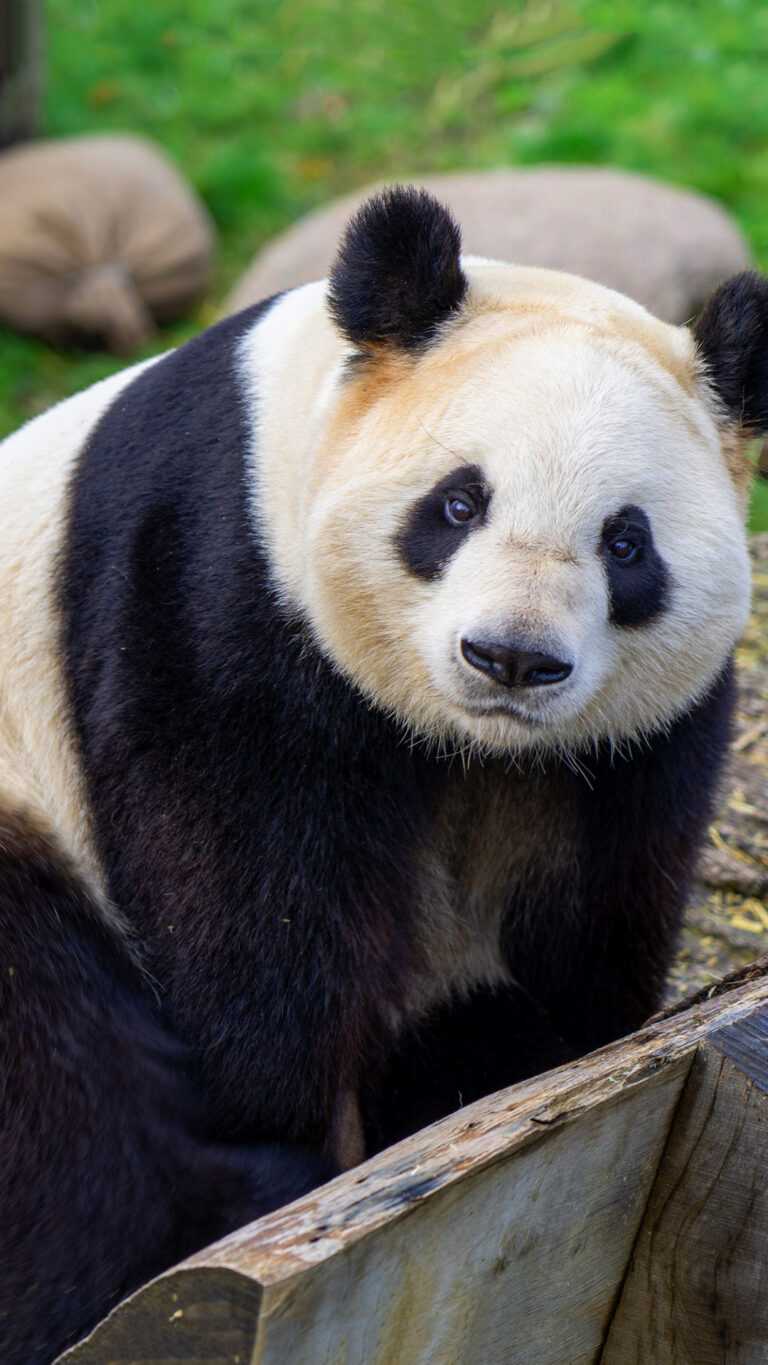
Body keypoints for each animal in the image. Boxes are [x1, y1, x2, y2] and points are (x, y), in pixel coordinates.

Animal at [0, 185, 763, 1362]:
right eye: (459, 503)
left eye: (626, 542)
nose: (511, 658)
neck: (469, 746)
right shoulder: (216, 586)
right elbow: (247, 902)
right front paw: (301, 1151)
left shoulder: (629, 747)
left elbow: (595, 906)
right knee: (57, 1084)